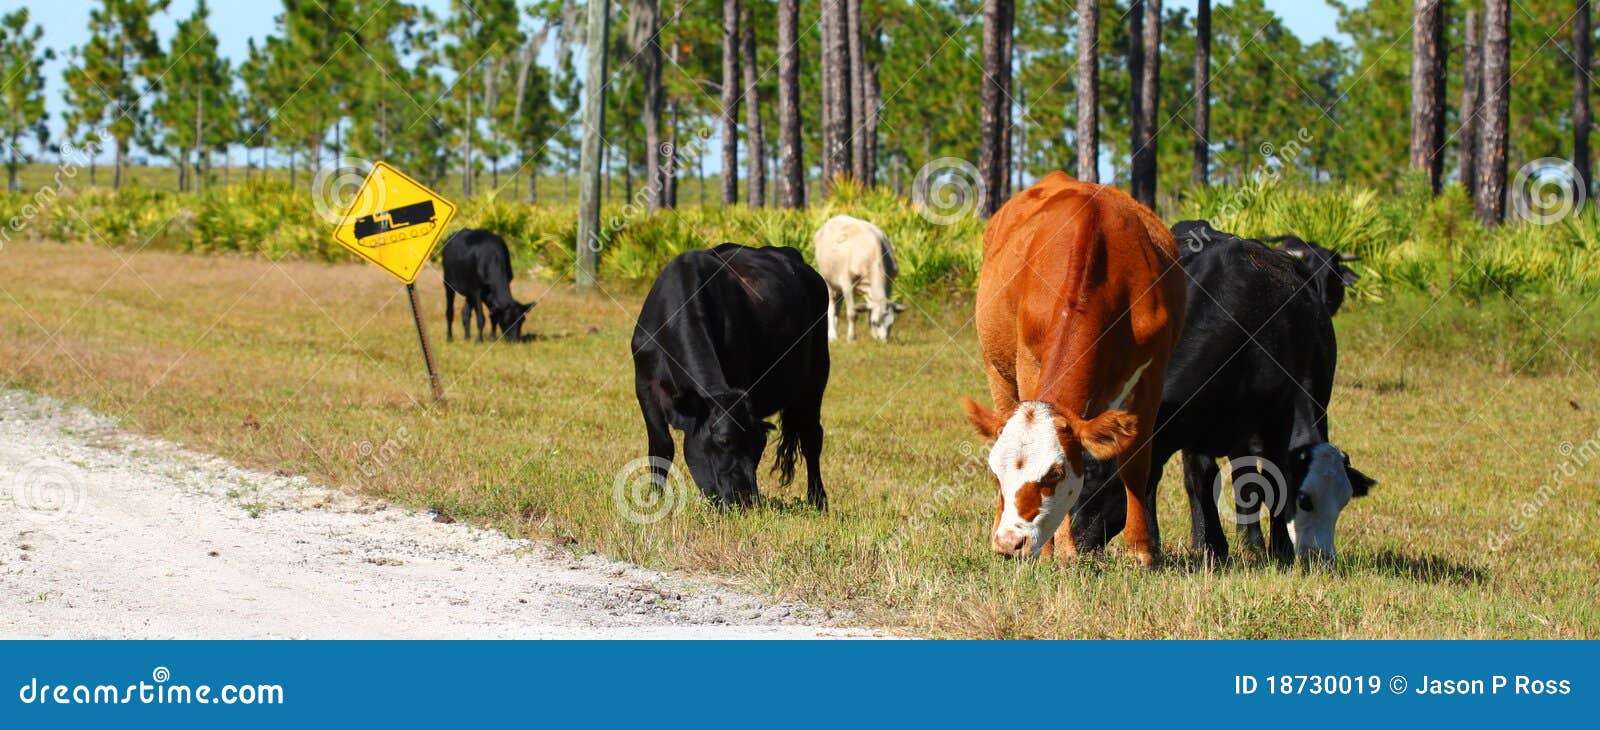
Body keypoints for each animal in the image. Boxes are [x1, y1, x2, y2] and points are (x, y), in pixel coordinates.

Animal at [631, 243, 832, 510]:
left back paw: (818, 500)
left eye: (760, 444)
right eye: (723, 441)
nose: (746, 501)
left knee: (812, 437)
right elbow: (661, 446)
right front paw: (654, 498)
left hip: (816, 377)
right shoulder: (644, 386)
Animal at [960, 172, 1187, 566]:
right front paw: (1055, 552)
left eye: (1055, 473)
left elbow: (1135, 462)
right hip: (996, 370)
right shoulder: (1028, 362)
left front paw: (1141, 551)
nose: (1009, 542)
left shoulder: (1152, 374)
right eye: (995, 471)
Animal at [1068, 226, 1376, 566]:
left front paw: (1276, 550)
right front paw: (1213, 545)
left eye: (1343, 501)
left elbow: (1265, 482)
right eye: (1305, 500)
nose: (1074, 540)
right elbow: (1202, 478)